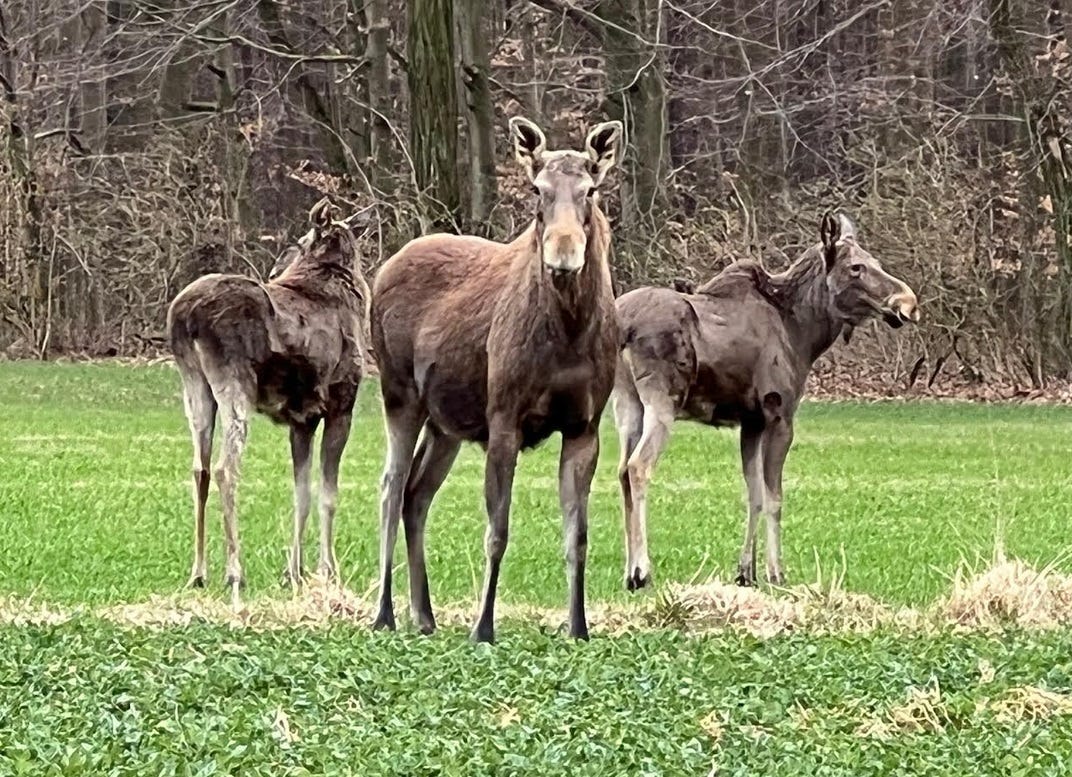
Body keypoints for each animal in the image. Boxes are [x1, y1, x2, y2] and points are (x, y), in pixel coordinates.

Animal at [166, 199, 369, 611]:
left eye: (299, 241)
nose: (275, 268)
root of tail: (185, 316)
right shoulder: (342, 403)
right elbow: (329, 495)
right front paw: (327, 571)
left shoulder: (302, 419)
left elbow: (301, 493)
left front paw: (294, 572)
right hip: (236, 383)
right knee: (226, 469)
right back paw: (234, 573)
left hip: (195, 385)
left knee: (200, 468)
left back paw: (198, 572)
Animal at [369, 116, 623, 643]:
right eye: (537, 189)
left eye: (590, 190)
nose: (564, 256)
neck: (568, 332)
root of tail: (381, 271)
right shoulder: (504, 415)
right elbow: (497, 530)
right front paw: (483, 626)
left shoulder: (586, 425)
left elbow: (578, 534)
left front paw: (579, 626)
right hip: (398, 391)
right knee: (390, 485)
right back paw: (384, 613)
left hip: (446, 423)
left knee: (416, 494)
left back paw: (424, 615)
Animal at [613, 213, 920, 590]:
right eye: (856, 268)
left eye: (875, 261)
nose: (908, 303)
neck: (803, 333)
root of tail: (622, 327)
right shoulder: (779, 414)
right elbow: (775, 498)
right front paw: (776, 572)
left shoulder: (751, 422)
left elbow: (754, 494)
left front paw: (746, 571)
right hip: (662, 400)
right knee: (638, 467)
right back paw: (642, 570)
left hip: (627, 404)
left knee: (621, 471)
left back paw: (628, 570)